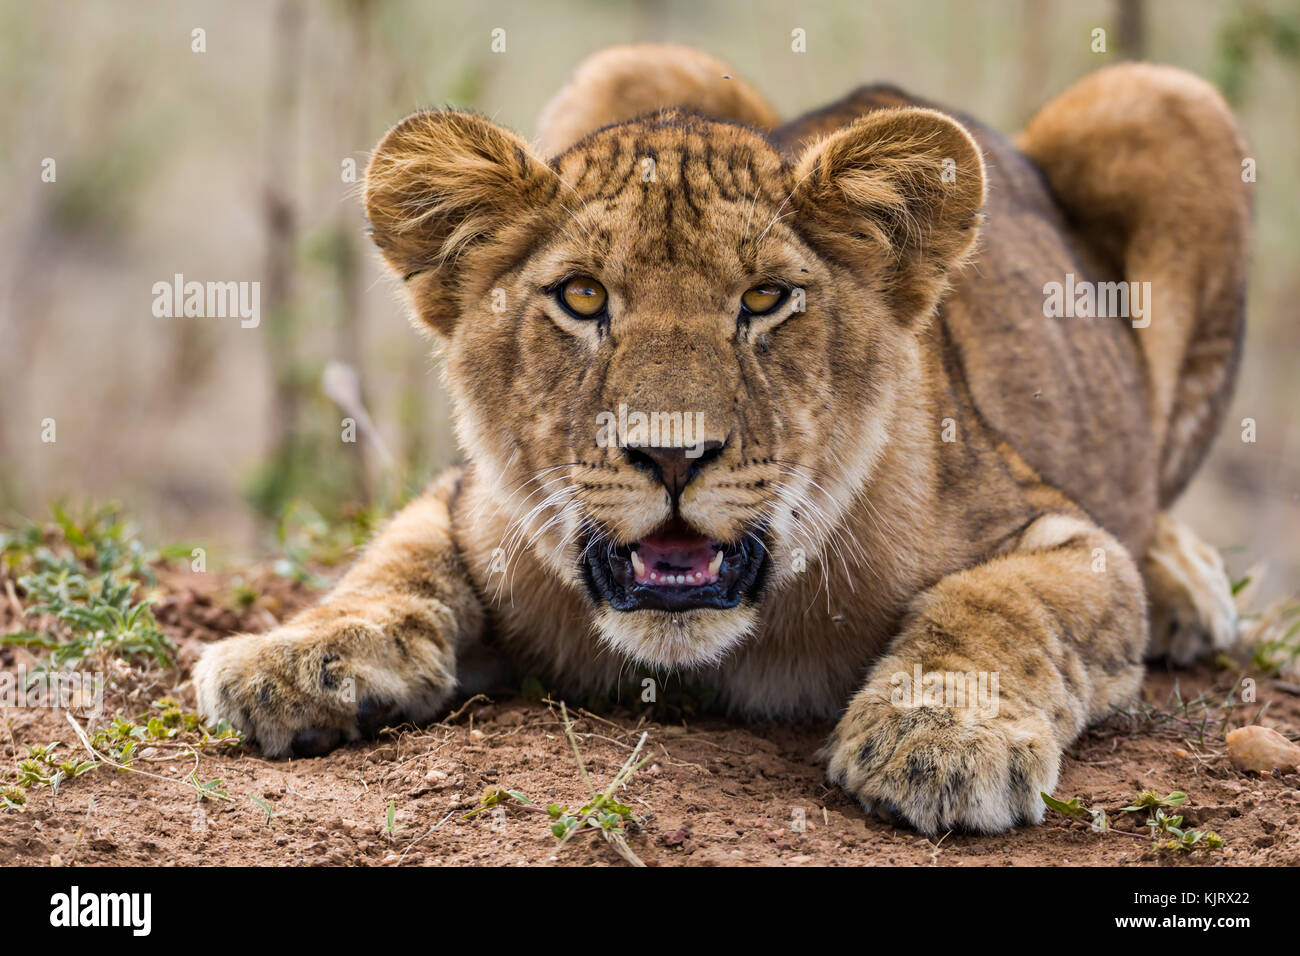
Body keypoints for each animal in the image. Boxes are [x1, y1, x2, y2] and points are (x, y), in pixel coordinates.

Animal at [194, 45, 1252, 834]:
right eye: (583, 297)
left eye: (765, 299)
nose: (672, 455)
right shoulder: (473, 503)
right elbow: (393, 562)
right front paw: (294, 659)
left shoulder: (1062, 533)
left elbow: (998, 605)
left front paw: (938, 739)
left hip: (1170, 101)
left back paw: (1187, 586)